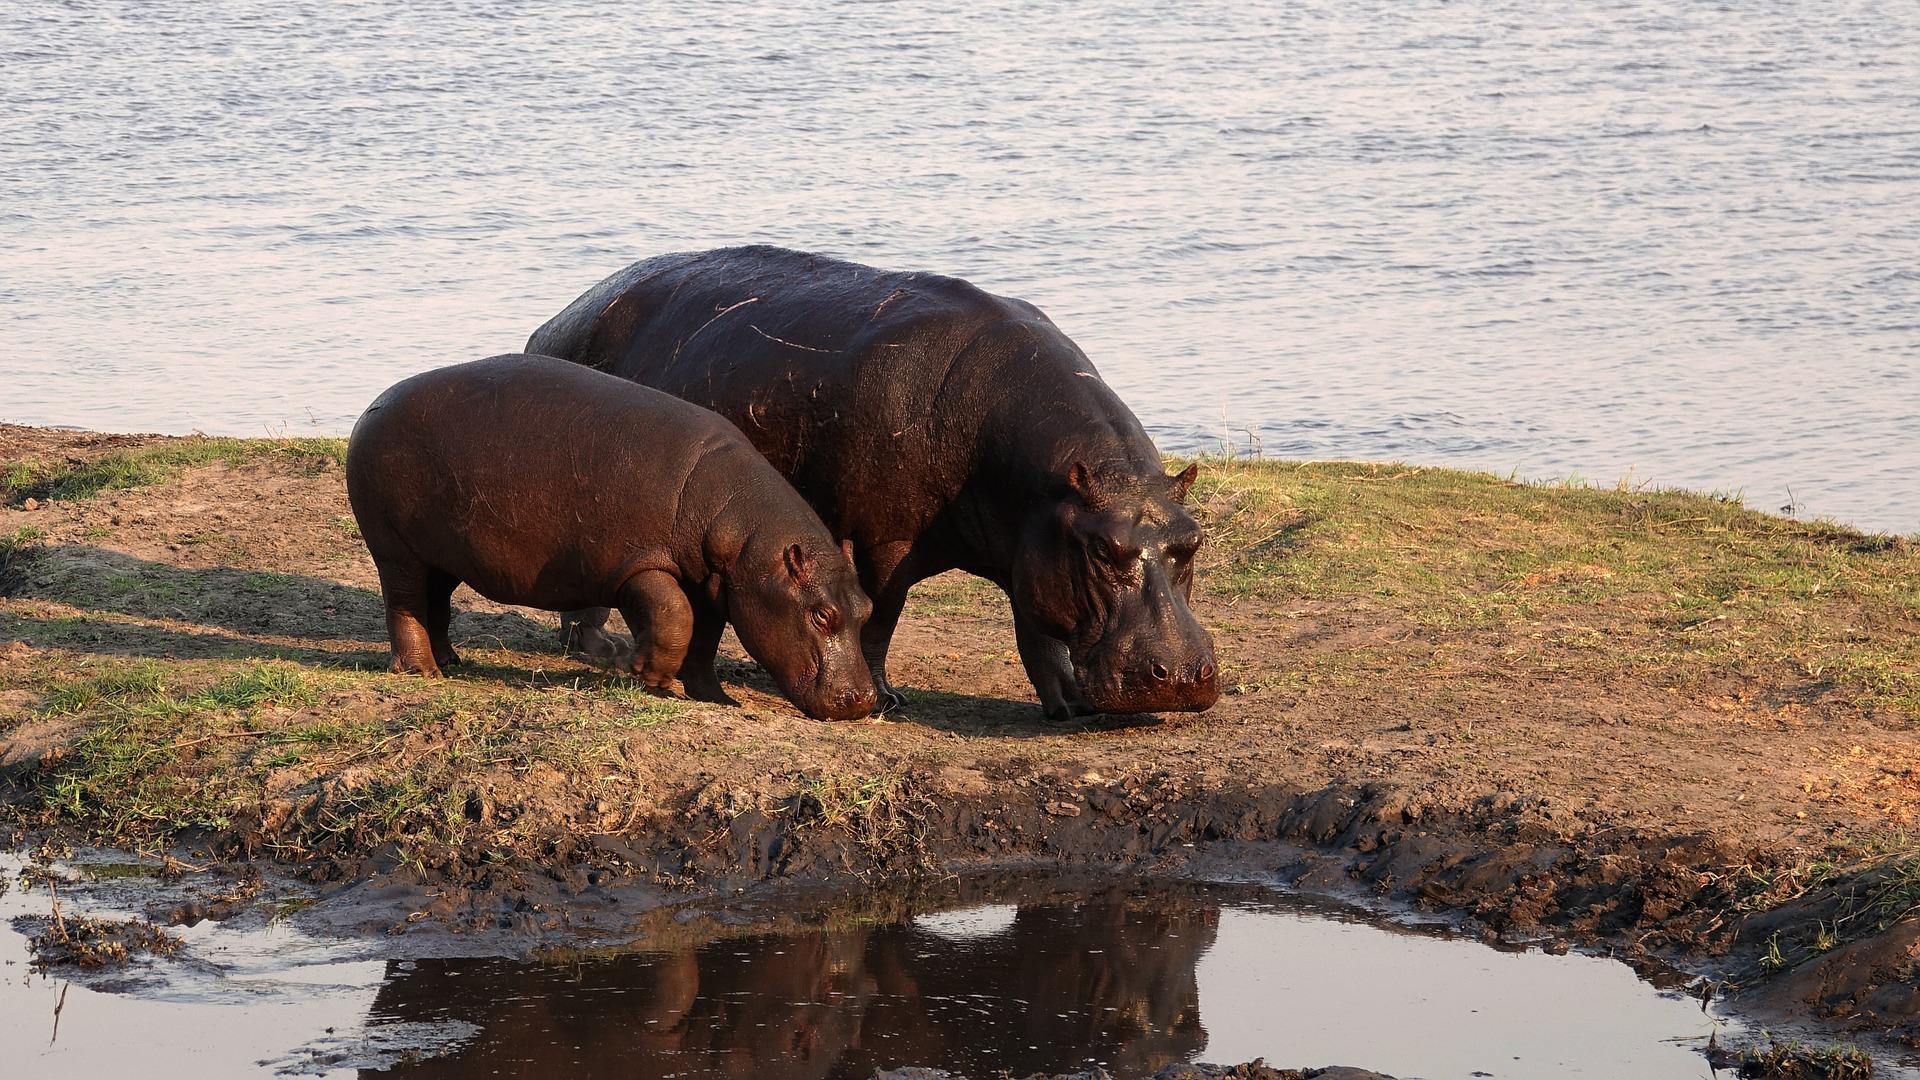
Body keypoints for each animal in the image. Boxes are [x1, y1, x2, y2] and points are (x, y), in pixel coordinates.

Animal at [344, 353, 877, 722]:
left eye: (867, 607)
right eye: (823, 615)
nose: (865, 699)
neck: (741, 534)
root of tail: (372, 406)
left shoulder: (713, 583)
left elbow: (704, 638)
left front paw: (714, 696)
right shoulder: (640, 565)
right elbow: (674, 617)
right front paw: (647, 676)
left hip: (443, 555)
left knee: (435, 602)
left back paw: (451, 662)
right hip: (396, 550)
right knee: (404, 604)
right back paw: (421, 671)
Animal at [526, 246, 1218, 721]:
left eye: (1193, 540)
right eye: (1103, 548)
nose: (1183, 677)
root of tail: (555, 320)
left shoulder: (1034, 546)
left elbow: (1037, 629)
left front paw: (1068, 706)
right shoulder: (886, 538)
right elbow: (883, 612)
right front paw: (885, 698)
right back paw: (594, 647)